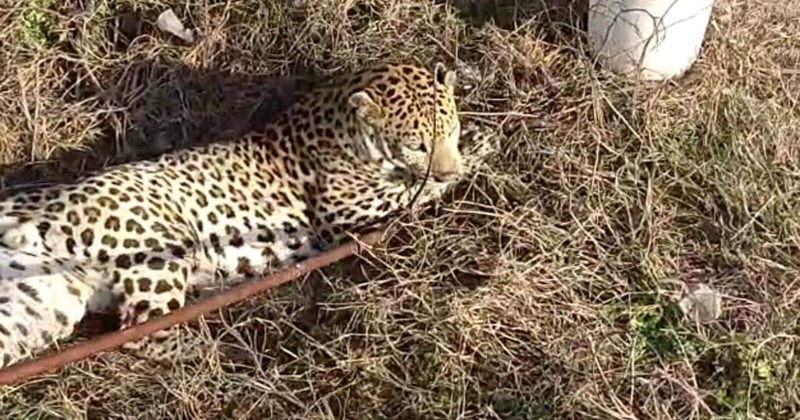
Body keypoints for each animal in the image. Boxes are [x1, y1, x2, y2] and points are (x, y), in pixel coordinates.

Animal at [0, 62, 499, 370]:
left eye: (449, 129)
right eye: (416, 143)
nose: (450, 163)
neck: (342, 121)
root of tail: (37, 202)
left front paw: (473, 141)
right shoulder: (343, 210)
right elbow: (412, 189)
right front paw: (473, 155)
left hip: (38, 300)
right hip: (154, 253)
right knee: (141, 331)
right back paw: (216, 353)